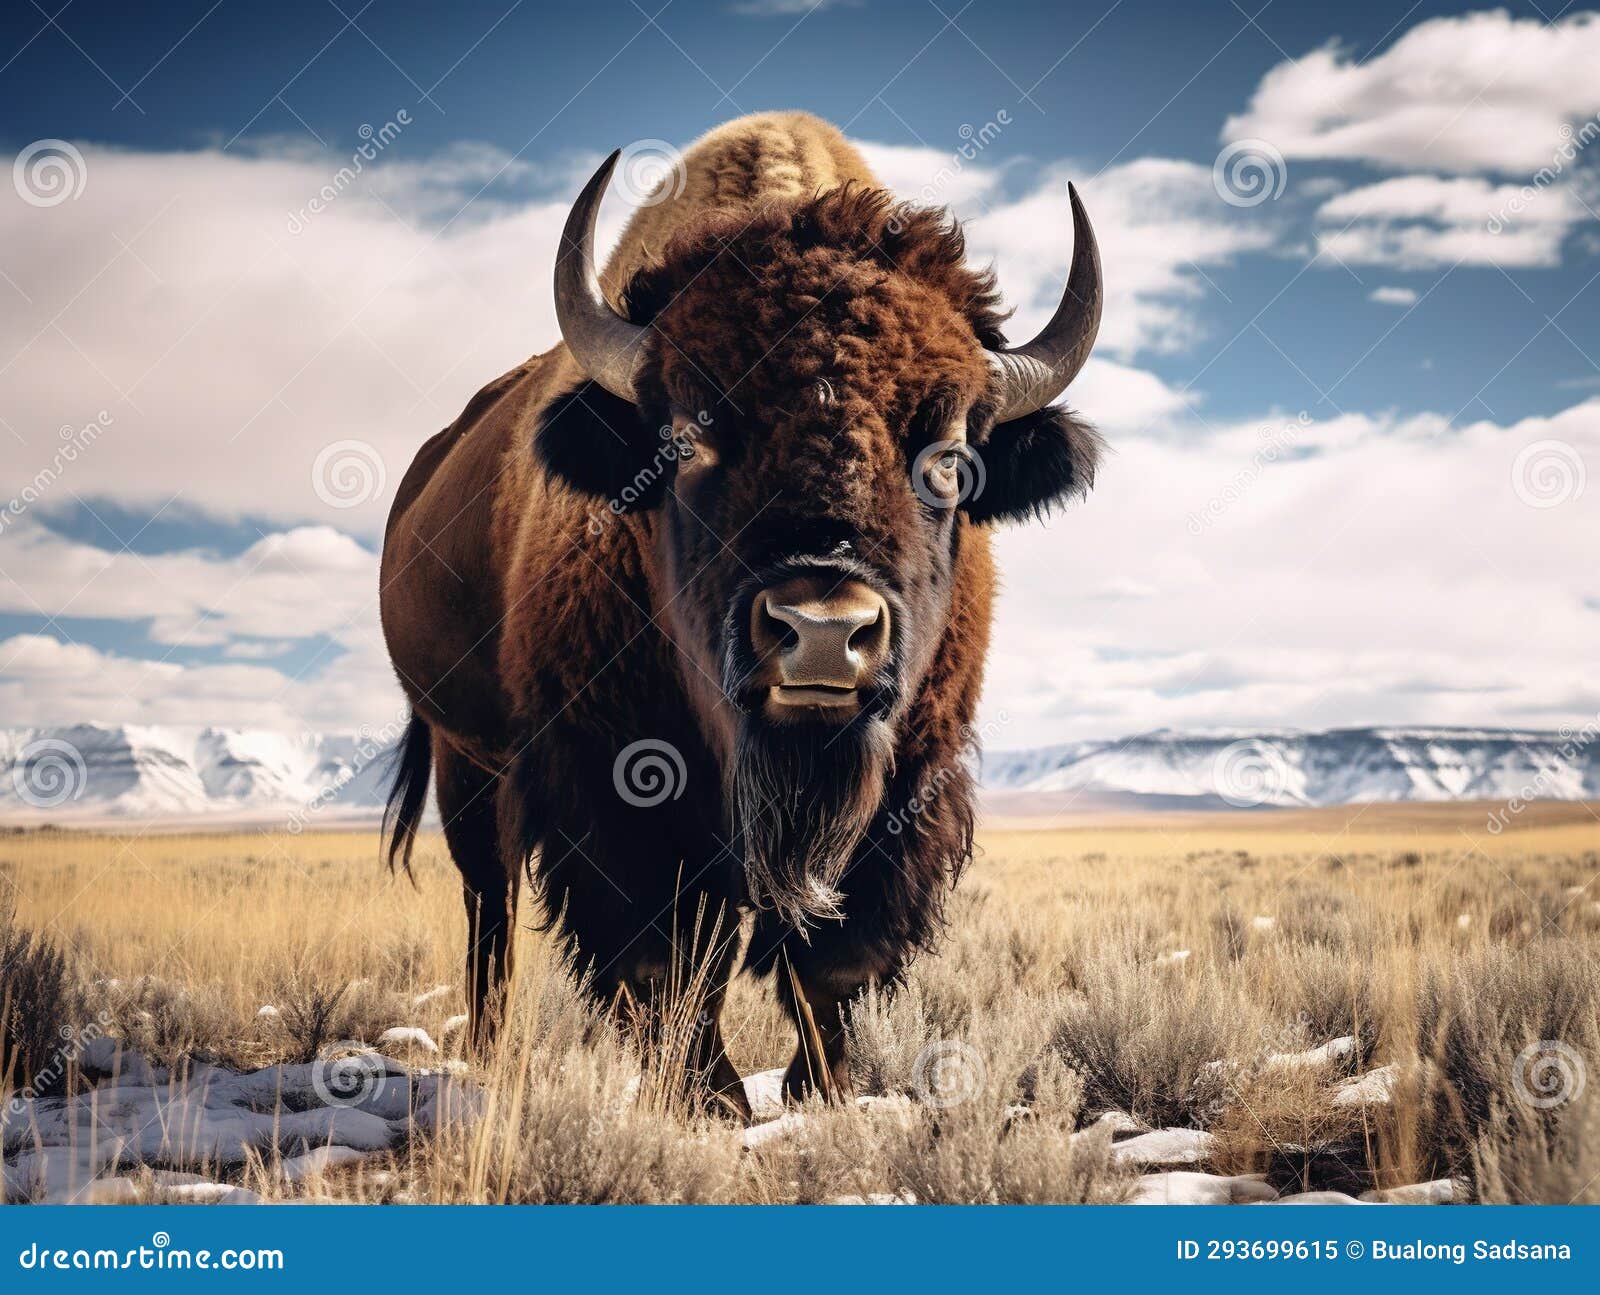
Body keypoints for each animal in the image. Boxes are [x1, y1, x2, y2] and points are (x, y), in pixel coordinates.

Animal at [379, 111, 1102, 1112]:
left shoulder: (907, 785)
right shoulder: (613, 783)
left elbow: (830, 962)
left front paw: (818, 1091)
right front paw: (713, 1099)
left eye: (951, 456)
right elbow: (664, 961)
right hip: (464, 756)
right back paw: (488, 1053)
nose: (824, 632)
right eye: (686, 438)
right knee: (489, 902)